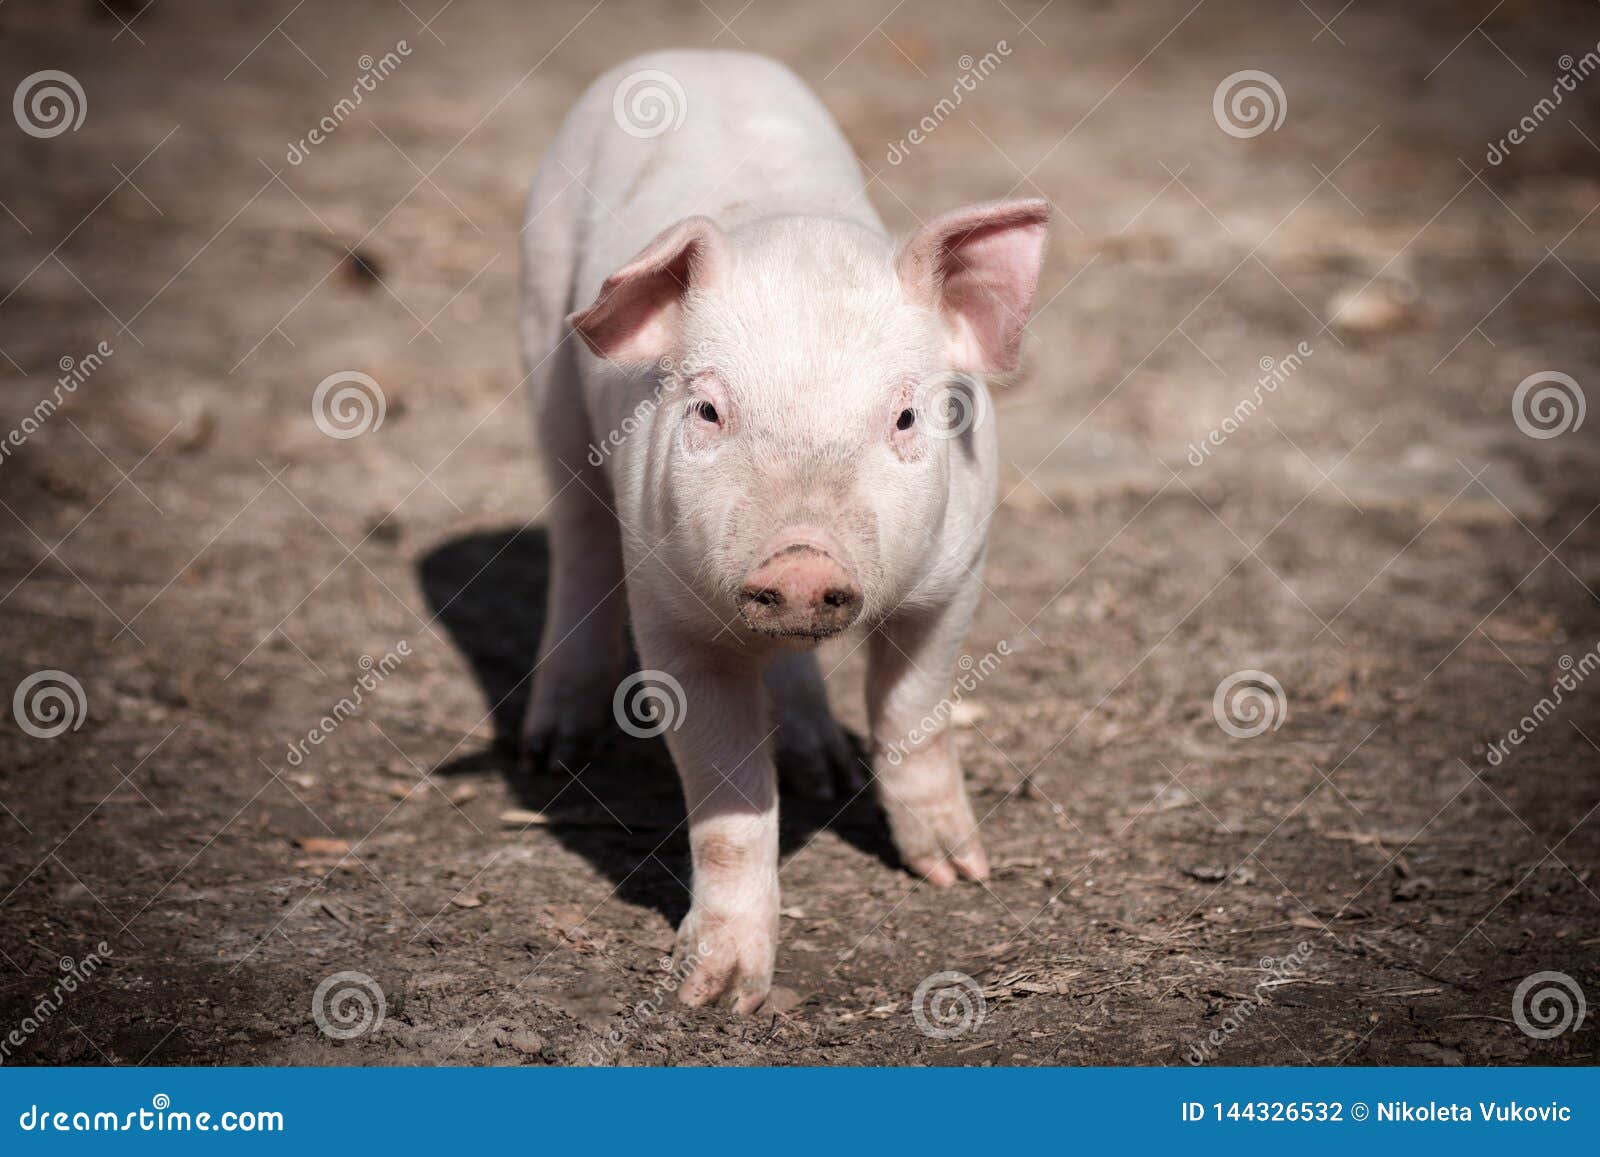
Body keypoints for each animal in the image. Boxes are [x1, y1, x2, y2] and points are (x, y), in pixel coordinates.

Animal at [518, 49, 1048, 1012]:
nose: (800, 562)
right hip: (540, 336)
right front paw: (716, 995)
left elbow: (915, 710)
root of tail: (687, 57)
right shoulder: (669, 611)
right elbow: (727, 801)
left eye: (906, 416)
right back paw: (552, 752)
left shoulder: (959, 571)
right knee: (576, 535)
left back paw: (824, 768)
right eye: (708, 409)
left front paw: (959, 875)